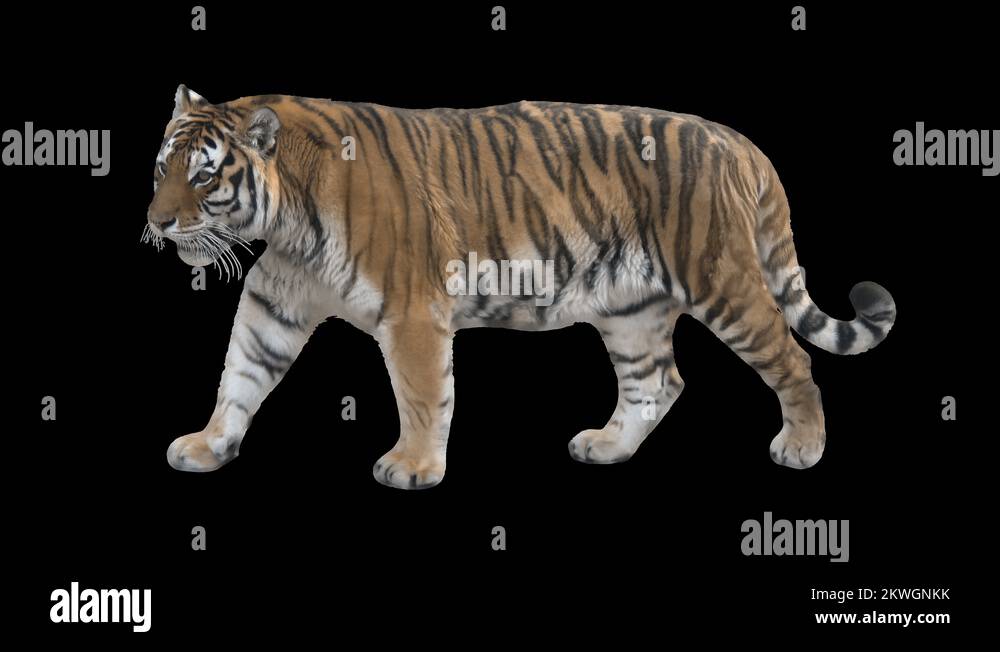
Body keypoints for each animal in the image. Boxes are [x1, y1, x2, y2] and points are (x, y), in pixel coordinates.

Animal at [146, 85, 896, 489]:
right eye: (161, 167)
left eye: (205, 175)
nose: (155, 221)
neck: (290, 222)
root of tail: (740, 143)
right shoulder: (275, 301)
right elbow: (241, 375)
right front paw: (208, 445)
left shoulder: (413, 311)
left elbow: (422, 394)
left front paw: (413, 465)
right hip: (631, 308)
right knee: (658, 380)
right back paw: (607, 446)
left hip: (723, 281)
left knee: (791, 359)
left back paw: (801, 447)